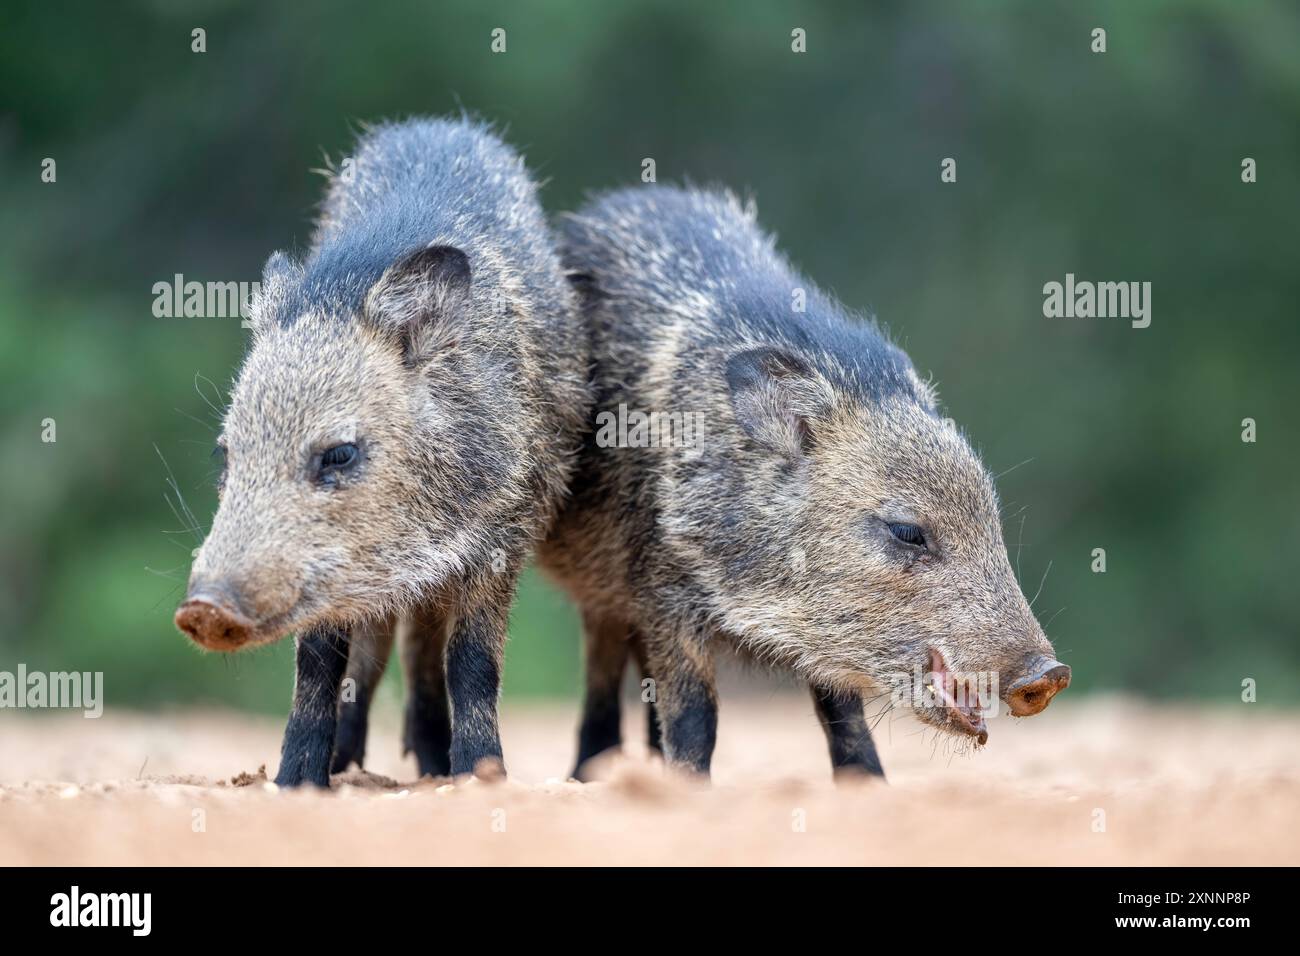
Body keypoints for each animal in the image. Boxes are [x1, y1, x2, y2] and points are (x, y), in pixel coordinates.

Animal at [174, 117, 590, 786]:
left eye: (340, 455)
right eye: (224, 455)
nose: (203, 609)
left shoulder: (502, 532)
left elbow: (472, 663)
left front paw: (480, 777)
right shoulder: (334, 571)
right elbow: (320, 662)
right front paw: (296, 782)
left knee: (421, 651)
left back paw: (432, 767)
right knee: (374, 653)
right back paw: (356, 764)